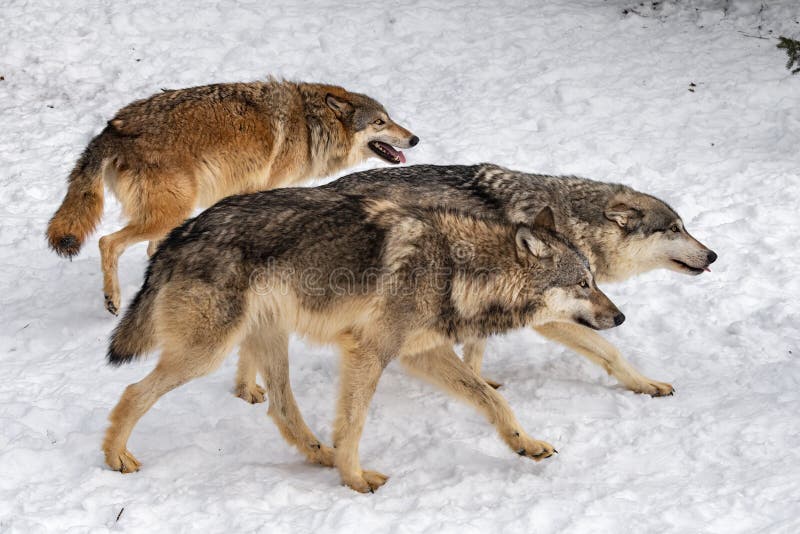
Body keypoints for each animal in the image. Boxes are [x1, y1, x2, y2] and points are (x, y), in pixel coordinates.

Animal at [46, 79, 418, 315]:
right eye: (380, 122)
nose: (414, 138)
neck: (310, 125)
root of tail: (114, 127)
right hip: (171, 209)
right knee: (107, 242)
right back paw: (113, 300)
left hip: (174, 210)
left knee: (146, 247)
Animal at [102, 186, 623, 493]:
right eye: (583, 284)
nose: (619, 317)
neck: (457, 267)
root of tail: (180, 233)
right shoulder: (370, 351)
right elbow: (353, 424)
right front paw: (354, 479)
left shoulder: (422, 354)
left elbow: (494, 401)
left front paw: (525, 445)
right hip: (205, 352)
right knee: (131, 392)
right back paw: (116, 457)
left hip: (267, 339)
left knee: (282, 409)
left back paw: (319, 455)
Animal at [235, 163, 716, 400]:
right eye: (675, 229)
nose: (713, 255)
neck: (572, 224)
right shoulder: (548, 316)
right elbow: (611, 351)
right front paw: (646, 385)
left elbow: (476, 348)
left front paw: (478, 380)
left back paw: (247, 390)